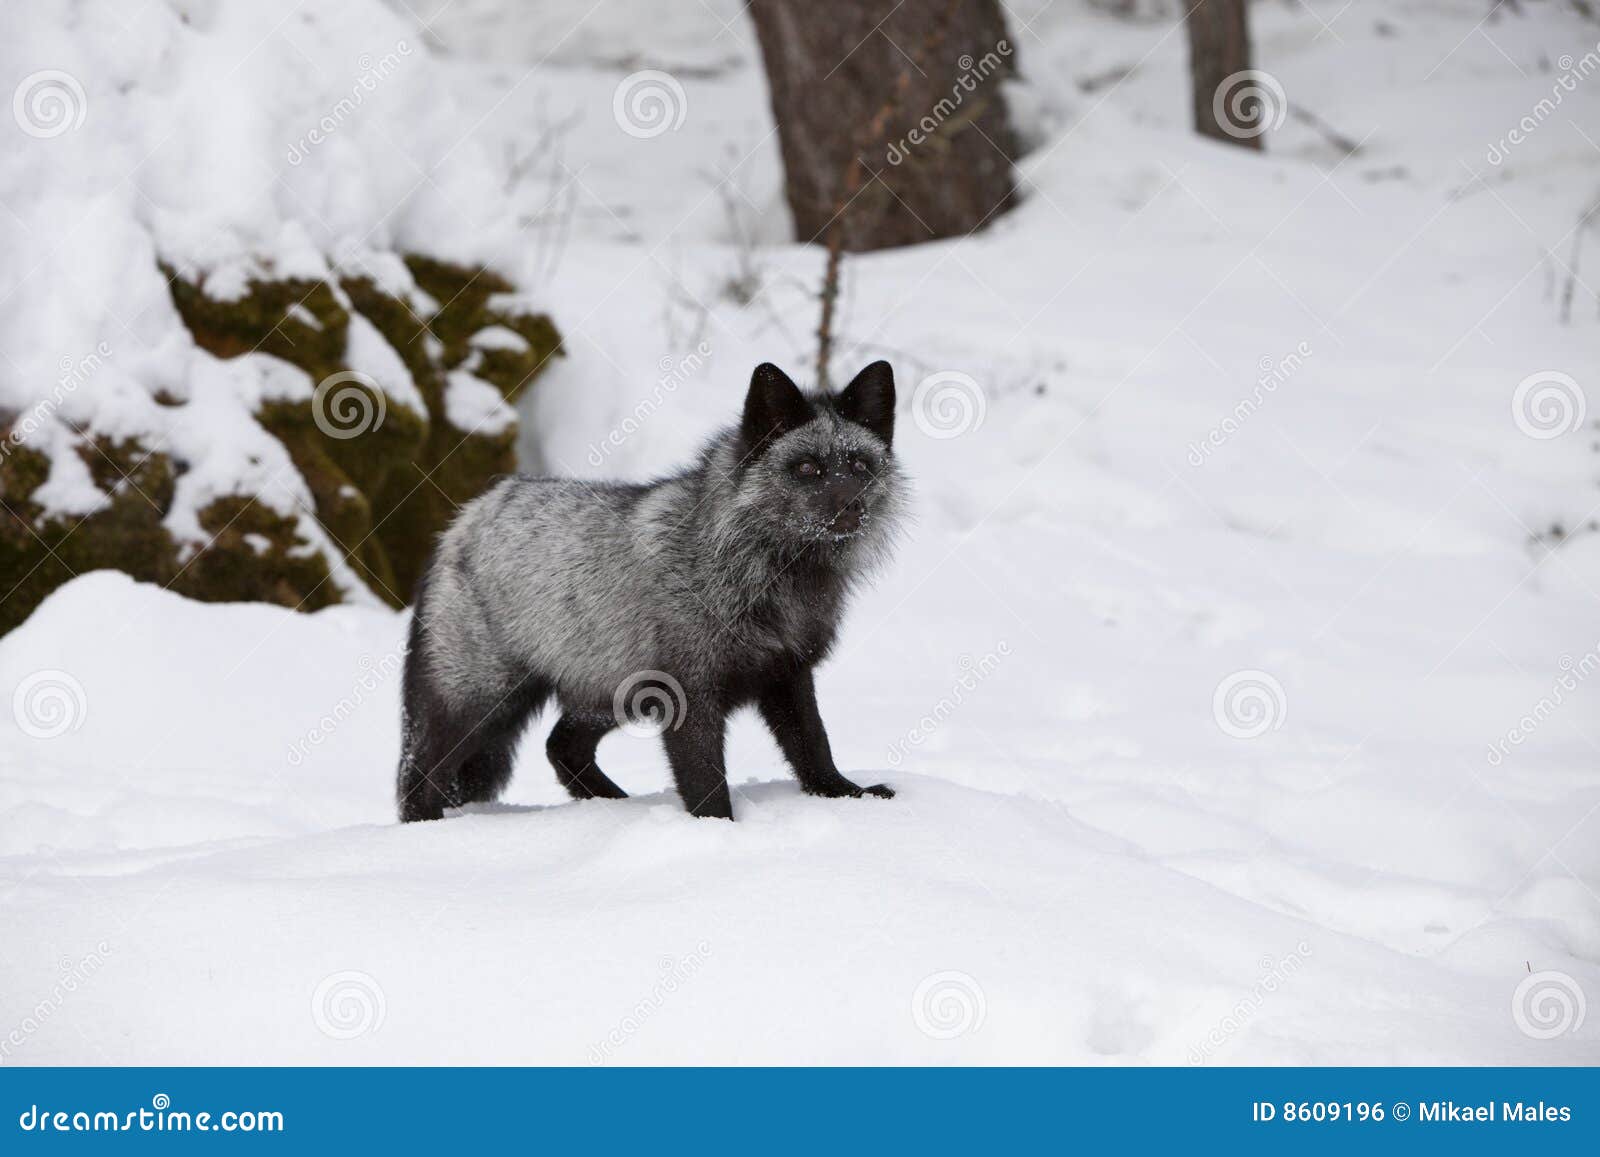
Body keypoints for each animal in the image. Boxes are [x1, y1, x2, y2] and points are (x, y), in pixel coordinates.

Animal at [396, 360, 906, 822]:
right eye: (806, 468)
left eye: (859, 465)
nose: (852, 506)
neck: (769, 572)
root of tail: (470, 514)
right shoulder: (688, 693)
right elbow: (705, 780)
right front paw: (719, 833)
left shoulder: (788, 673)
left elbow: (814, 745)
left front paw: (846, 795)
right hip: (482, 699)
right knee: (416, 773)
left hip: (610, 688)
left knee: (560, 745)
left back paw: (611, 804)